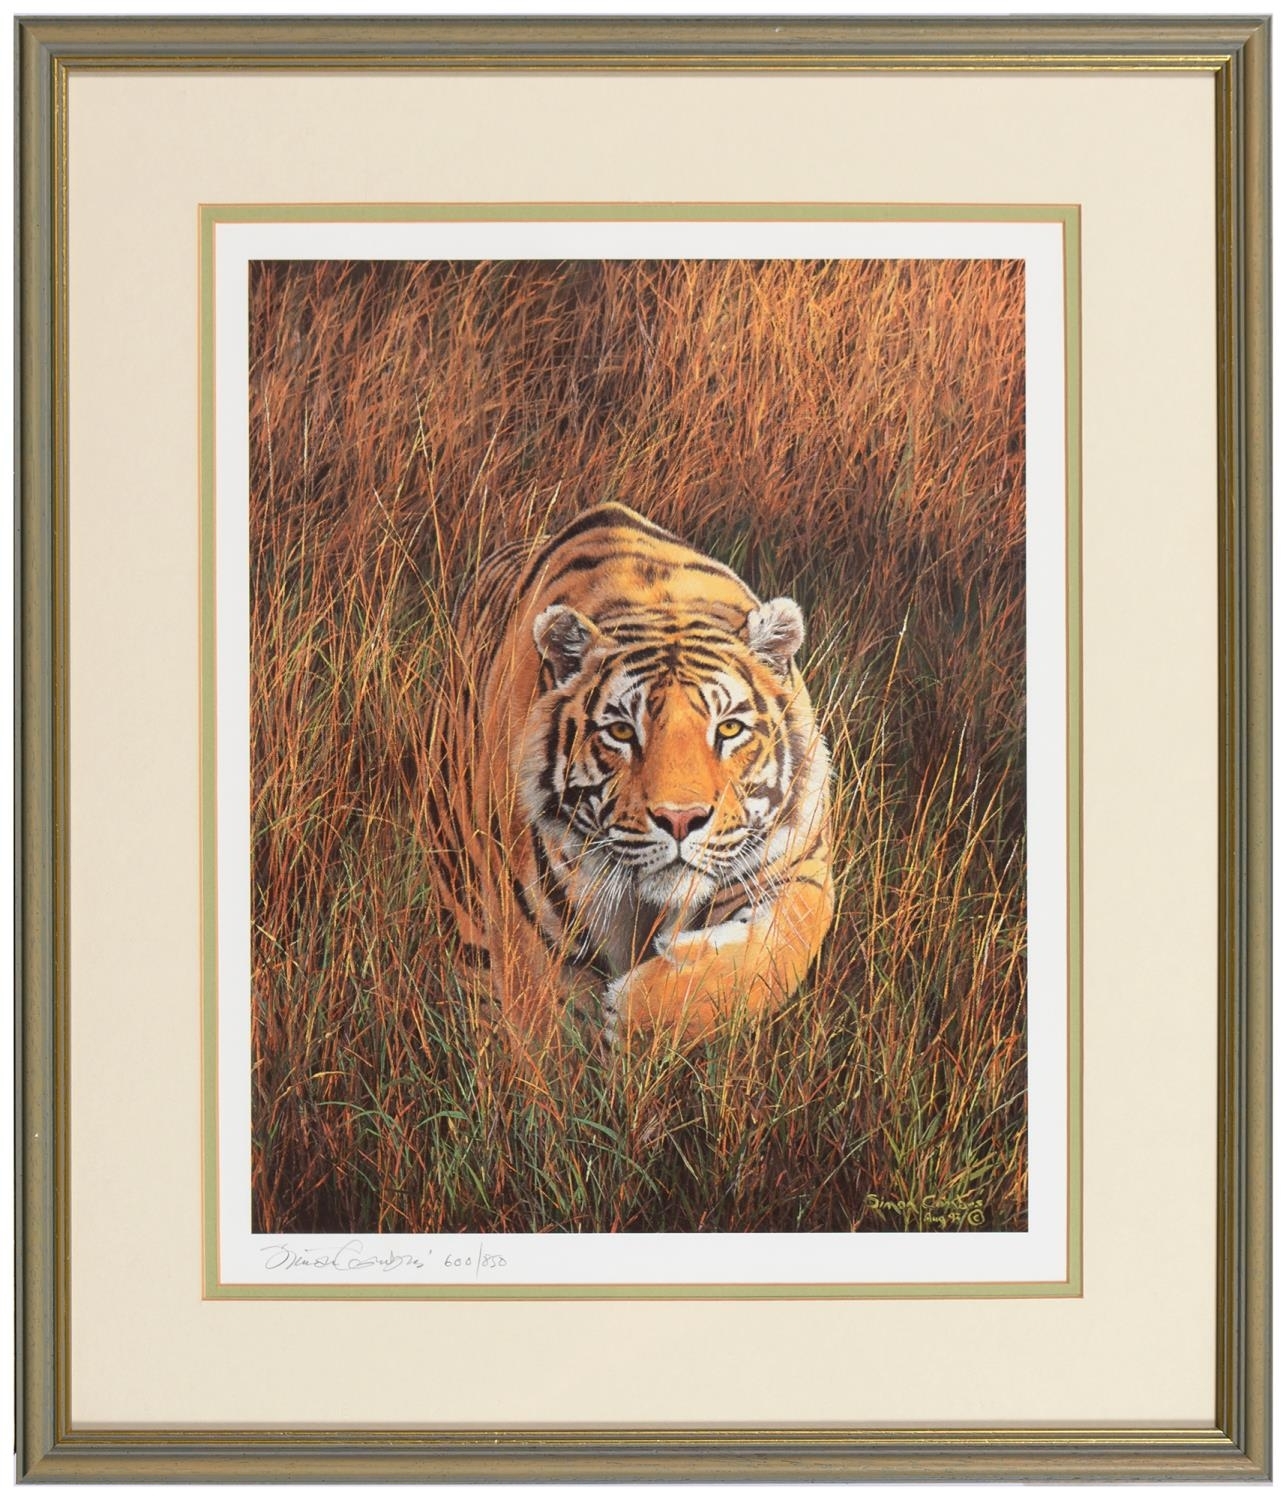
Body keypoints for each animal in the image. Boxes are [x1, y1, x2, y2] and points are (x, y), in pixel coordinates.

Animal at [427, 502, 834, 1043]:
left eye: (728, 728)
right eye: (621, 731)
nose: (681, 820)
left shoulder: (794, 862)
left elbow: (779, 945)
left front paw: (643, 1005)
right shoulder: (529, 944)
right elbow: (547, 1049)